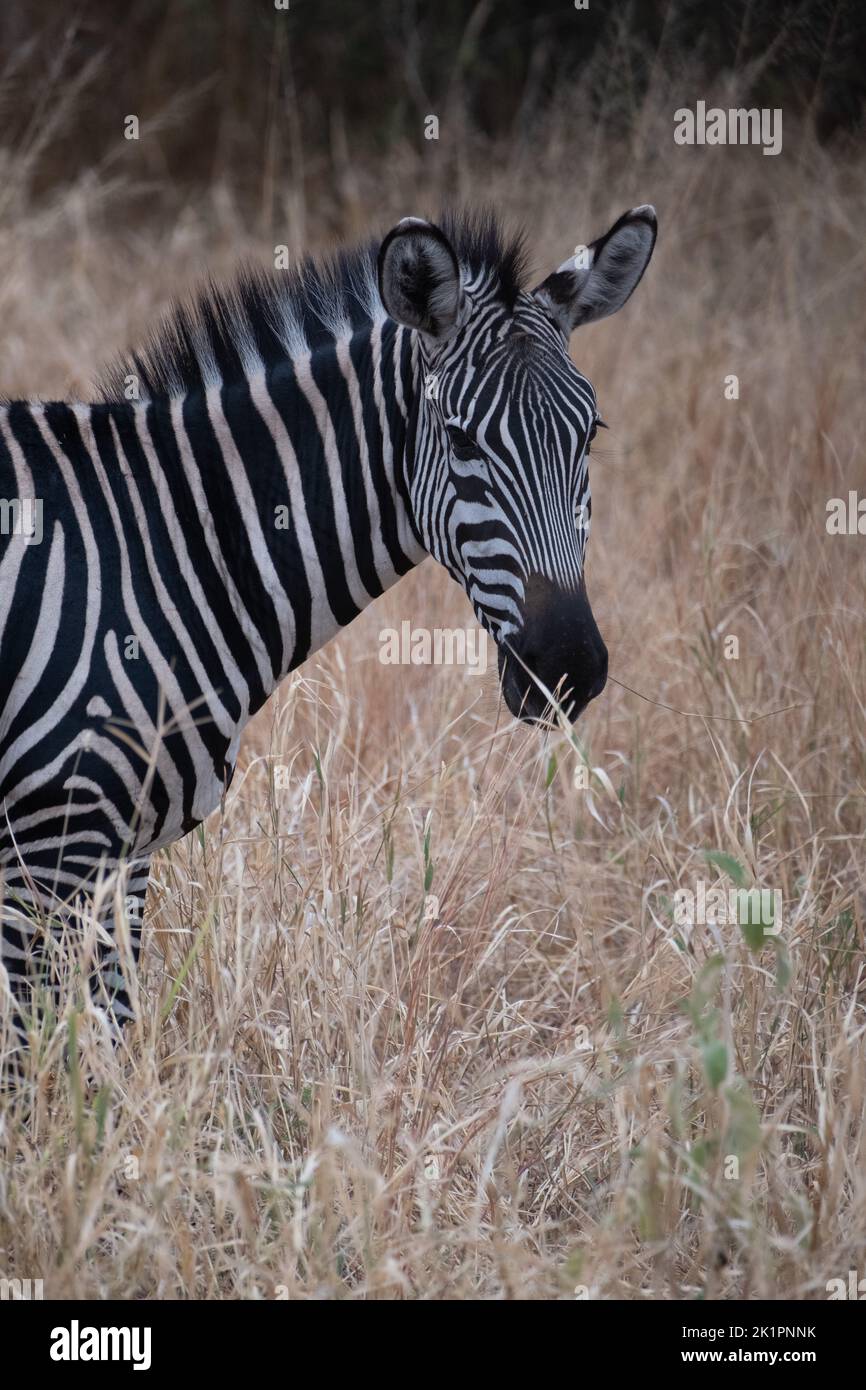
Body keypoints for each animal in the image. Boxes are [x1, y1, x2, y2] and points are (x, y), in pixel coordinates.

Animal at [0, 205, 656, 1047]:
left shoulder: (122, 856)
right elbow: (37, 1055)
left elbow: (114, 1038)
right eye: (462, 440)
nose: (567, 663)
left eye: (591, 434)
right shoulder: (49, 841)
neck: (165, 544)